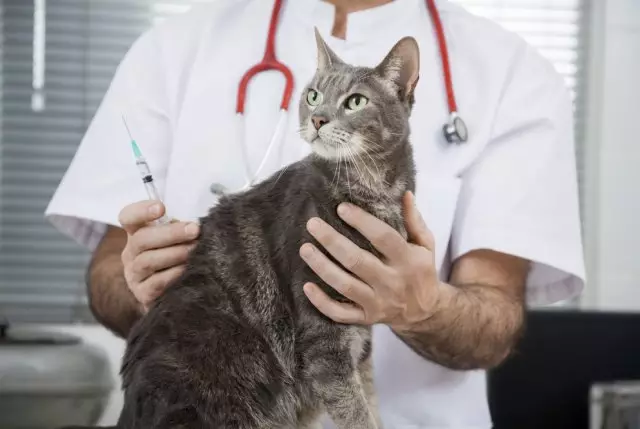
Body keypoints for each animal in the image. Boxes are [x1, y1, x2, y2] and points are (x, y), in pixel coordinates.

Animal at [81, 28, 420, 426]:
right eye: (314, 95)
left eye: (355, 102)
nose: (318, 119)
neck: (374, 191)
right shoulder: (325, 341)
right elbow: (356, 412)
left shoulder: (360, 337)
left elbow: (370, 402)